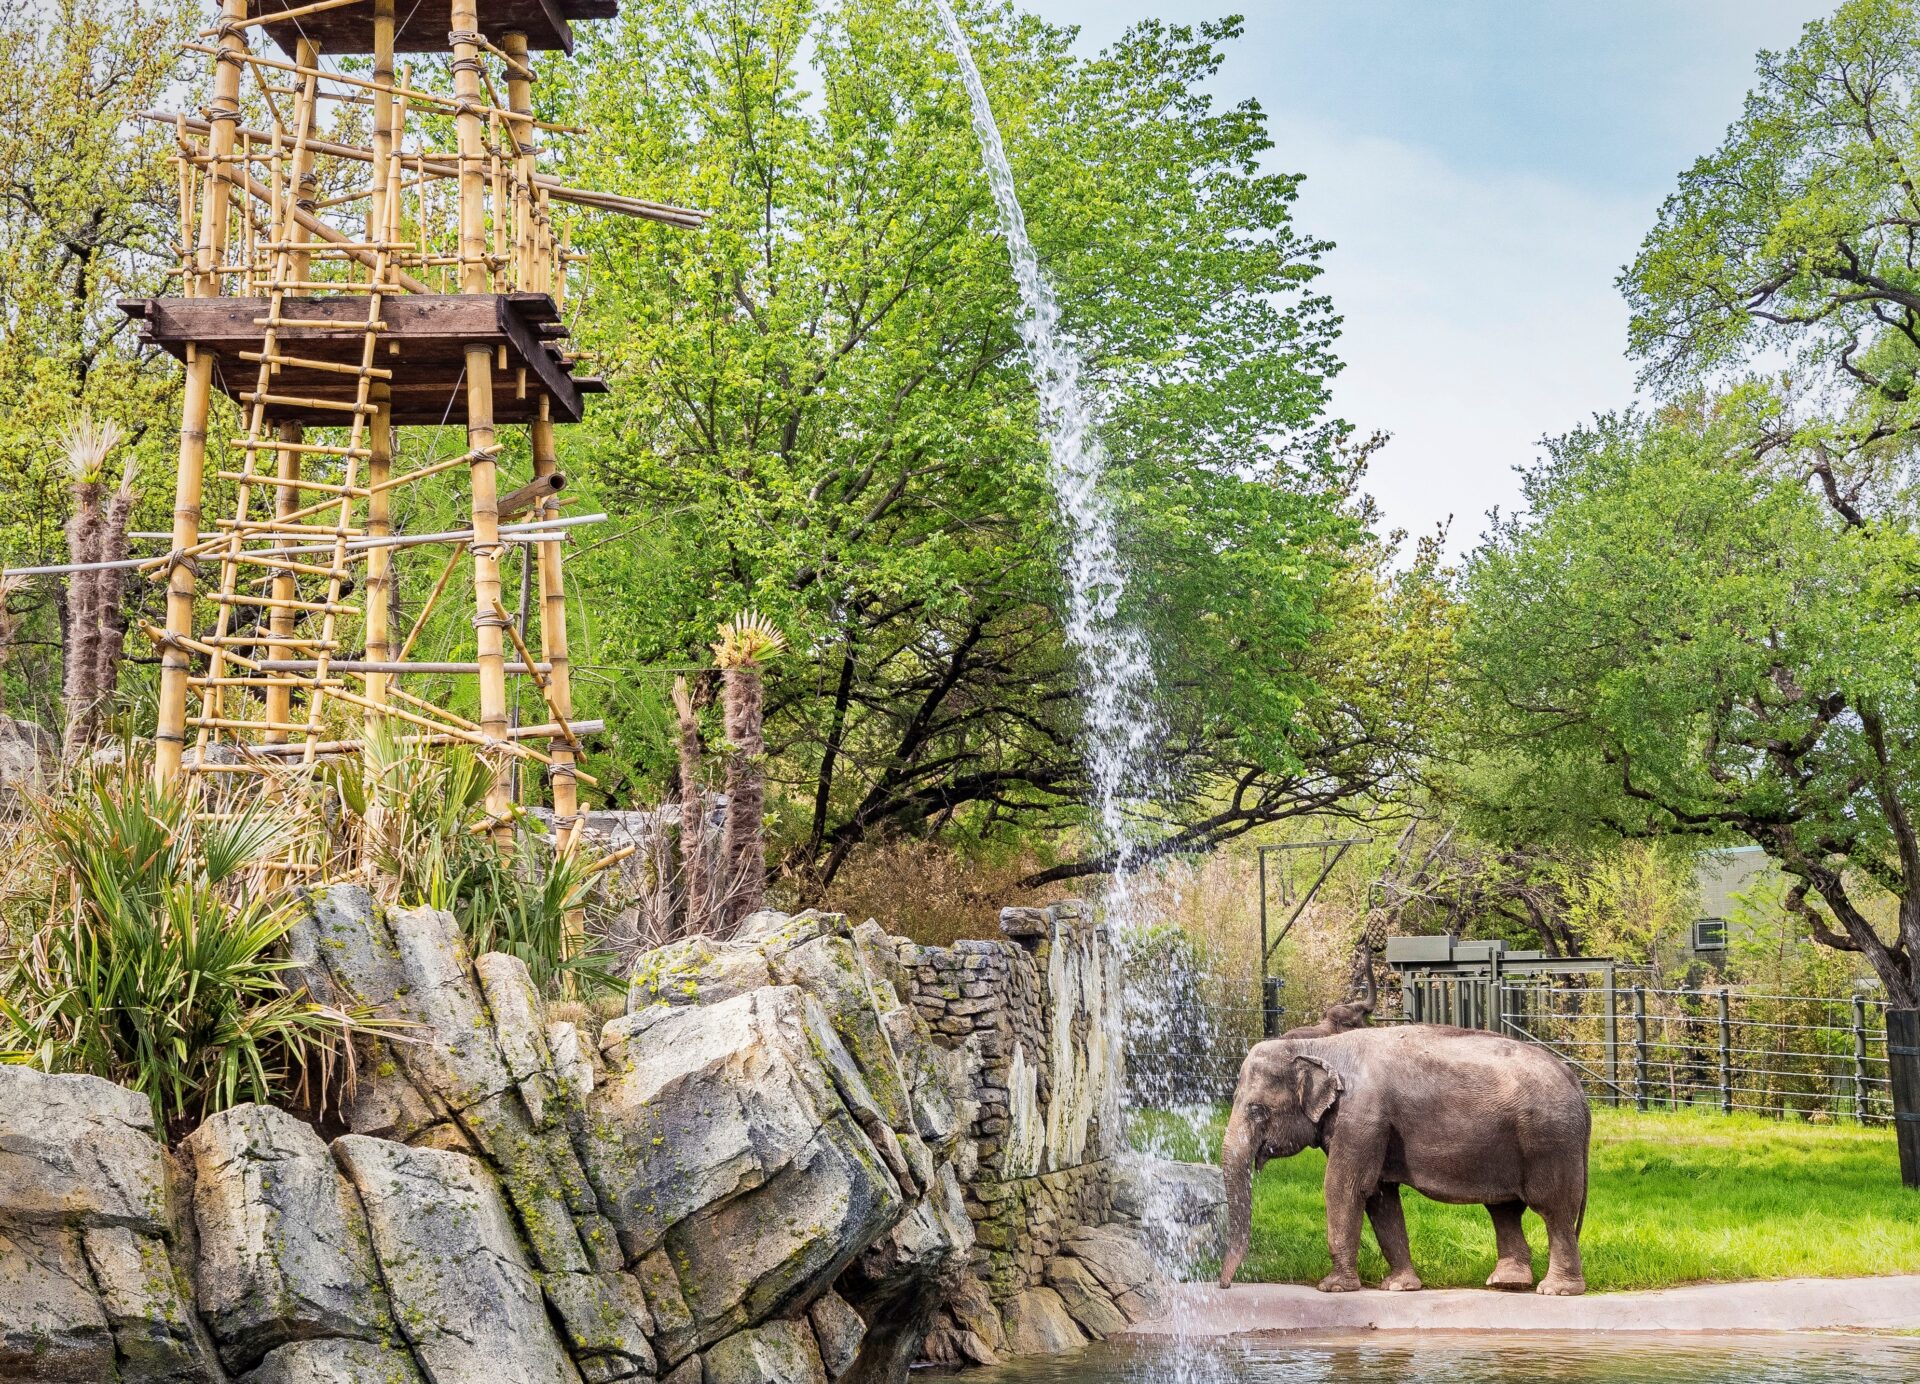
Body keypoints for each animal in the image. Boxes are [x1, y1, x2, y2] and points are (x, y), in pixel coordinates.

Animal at [1218, 1025, 1589, 1296]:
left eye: (1257, 1110)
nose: (1224, 1286)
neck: (1321, 1046)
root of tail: (1575, 1080)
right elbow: (1380, 1197)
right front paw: (1398, 1287)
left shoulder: (1363, 1116)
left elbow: (1345, 1187)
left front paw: (1333, 1288)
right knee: (1505, 1209)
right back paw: (1508, 1283)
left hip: (1549, 1140)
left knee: (1553, 1207)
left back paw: (1556, 1290)